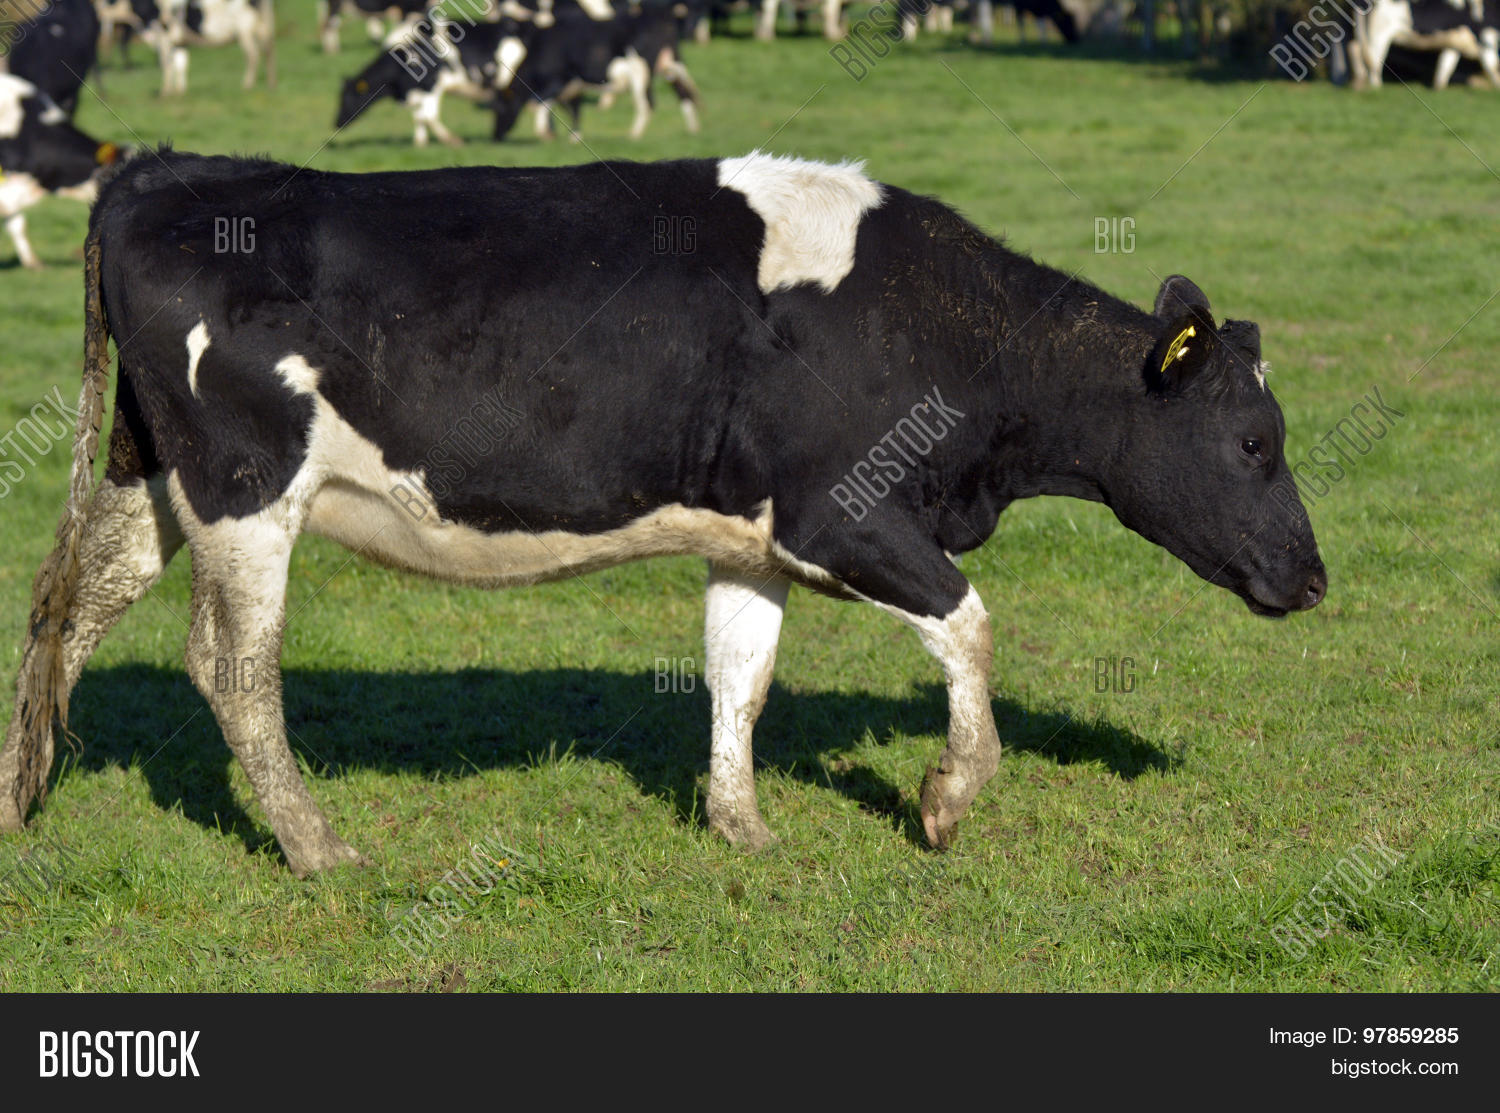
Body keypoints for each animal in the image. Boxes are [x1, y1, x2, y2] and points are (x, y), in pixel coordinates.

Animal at [0, 150, 1326, 875]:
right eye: (1253, 442)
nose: (1313, 578)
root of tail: (167, 173)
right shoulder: (845, 518)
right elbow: (970, 626)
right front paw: (948, 798)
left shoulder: (755, 541)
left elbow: (741, 675)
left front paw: (741, 827)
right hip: (245, 490)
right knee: (230, 666)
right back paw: (316, 845)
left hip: (148, 476)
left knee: (68, 607)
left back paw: (24, 797)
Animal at [130, 0, 277, 95]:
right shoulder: (179, 41)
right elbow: (181, 65)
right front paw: (180, 91)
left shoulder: (164, 37)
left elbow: (167, 65)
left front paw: (165, 92)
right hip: (262, 27)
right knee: (268, 51)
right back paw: (270, 85)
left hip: (244, 29)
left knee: (253, 56)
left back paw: (247, 85)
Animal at [1353, 0, 1500, 88]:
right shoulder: (1485, 37)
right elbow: (1492, 67)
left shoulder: (1454, 42)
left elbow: (1445, 67)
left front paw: (1438, 88)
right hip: (1377, 34)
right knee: (1373, 63)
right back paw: (1376, 88)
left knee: (1358, 54)